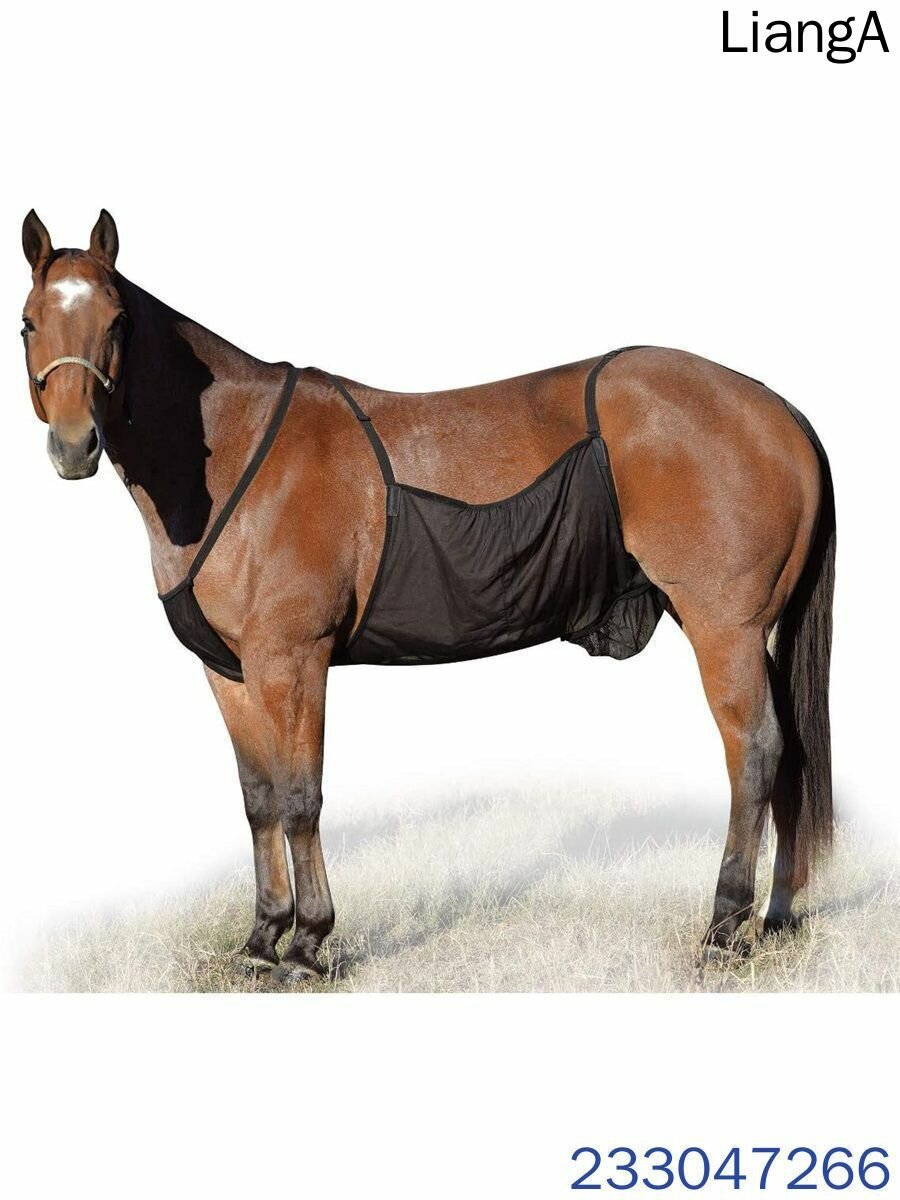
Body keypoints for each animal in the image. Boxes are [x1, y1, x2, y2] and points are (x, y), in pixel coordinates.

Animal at [20, 209, 835, 982]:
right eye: (29, 321)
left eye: (117, 322)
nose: (74, 445)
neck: (235, 456)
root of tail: (777, 409)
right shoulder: (230, 670)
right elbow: (258, 800)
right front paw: (260, 938)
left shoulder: (292, 661)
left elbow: (300, 797)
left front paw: (307, 945)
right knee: (789, 753)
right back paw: (776, 917)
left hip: (726, 629)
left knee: (755, 753)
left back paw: (724, 928)